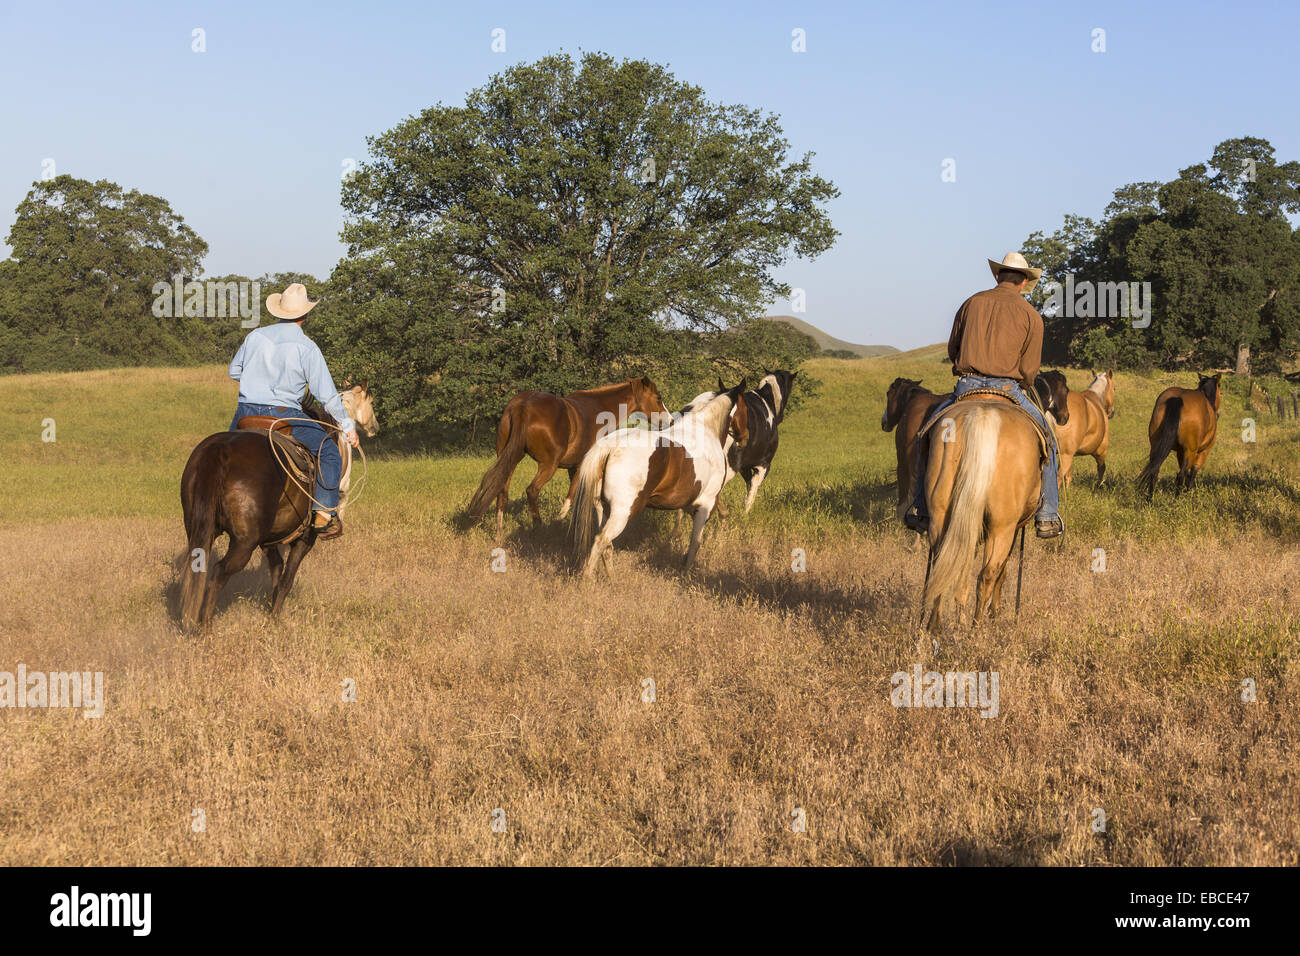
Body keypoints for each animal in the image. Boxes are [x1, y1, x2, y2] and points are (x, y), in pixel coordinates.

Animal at [177, 387, 378, 630]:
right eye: (371, 402)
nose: (375, 427)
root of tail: (220, 450)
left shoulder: (269, 541)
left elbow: (276, 571)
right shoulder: (304, 539)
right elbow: (286, 579)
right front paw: (275, 619)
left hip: (199, 529)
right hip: (244, 543)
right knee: (218, 573)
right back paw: (205, 626)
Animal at [467, 377, 670, 537]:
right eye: (658, 398)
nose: (669, 420)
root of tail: (523, 406)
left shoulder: (574, 469)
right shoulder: (583, 467)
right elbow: (573, 497)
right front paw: (559, 523)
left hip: (510, 458)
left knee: (502, 492)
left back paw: (499, 534)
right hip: (547, 465)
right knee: (532, 491)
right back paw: (539, 527)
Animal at [568, 382, 748, 578]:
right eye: (745, 407)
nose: (745, 437)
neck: (705, 430)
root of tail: (611, 446)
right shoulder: (705, 506)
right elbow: (695, 544)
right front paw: (685, 575)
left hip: (602, 509)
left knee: (606, 546)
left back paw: (611, 578)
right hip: (621, 513)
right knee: (601, 540)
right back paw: (587, 579)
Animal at [919, 375, 1069, 631]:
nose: (1065, 417)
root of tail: (982, 418)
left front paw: (959, 617)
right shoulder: (1013, 528)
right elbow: (1003, 570)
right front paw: (994, 612)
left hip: (941, 515)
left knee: (944, 562)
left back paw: (934, 626)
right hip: (1002, 526)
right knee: (988, 573)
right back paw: (976, 629)